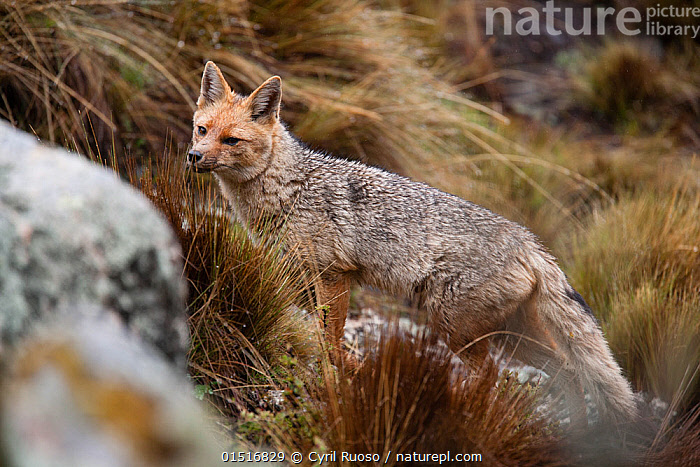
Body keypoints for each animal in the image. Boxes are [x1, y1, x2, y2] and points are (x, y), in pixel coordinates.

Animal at [187, 61, 637, 427]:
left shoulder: (335, 277)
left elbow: (330, 343)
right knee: (568, 371)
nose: (193, 156)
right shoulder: (299, 281)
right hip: (509, 334)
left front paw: (360, 373)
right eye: (202, 130)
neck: (290, 192)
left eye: (231, 140)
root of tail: (528, 240)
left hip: (455, 328)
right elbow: (319, 338)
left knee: (493, 376)